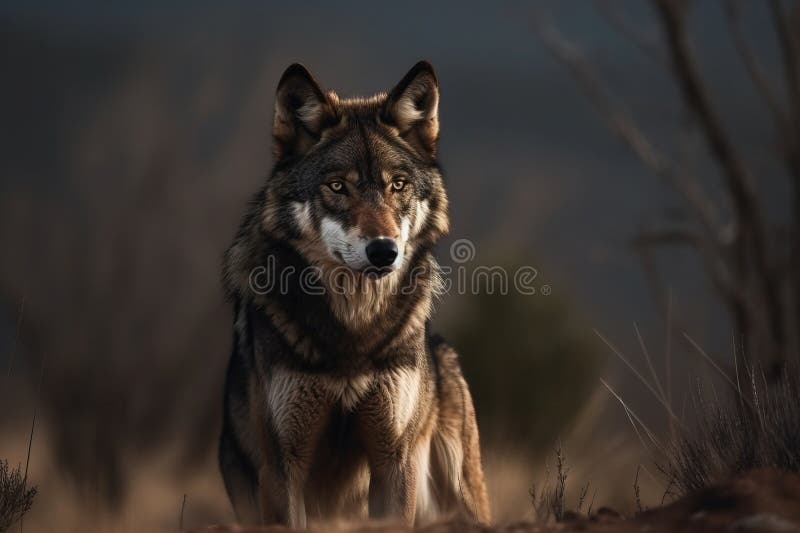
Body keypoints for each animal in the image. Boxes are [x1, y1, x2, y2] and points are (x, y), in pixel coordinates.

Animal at [219, 61, 490, 528]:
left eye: (397, 185)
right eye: (337, 187)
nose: (383, 251)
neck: (354, 330)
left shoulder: (393, 459)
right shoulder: (283, 467)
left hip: (464, 494)